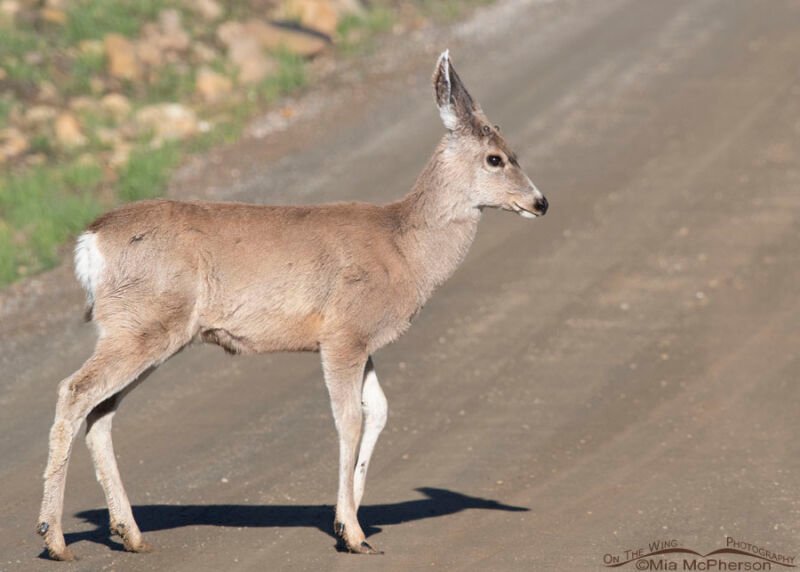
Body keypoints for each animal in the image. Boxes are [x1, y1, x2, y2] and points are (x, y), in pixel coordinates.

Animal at [36, 50, 548, 560]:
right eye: (496, 158)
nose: (541, 202)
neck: (403, 248)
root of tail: (91, 240)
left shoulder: (361, 341)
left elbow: (379, 410)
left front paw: (348, 517)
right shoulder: (343, 332)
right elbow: (349, 418)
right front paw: (353, 532)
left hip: (148, 331)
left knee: (101, 412)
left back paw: (129, 534)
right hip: (141, 322)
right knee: (74, 391)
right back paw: (55, 538)